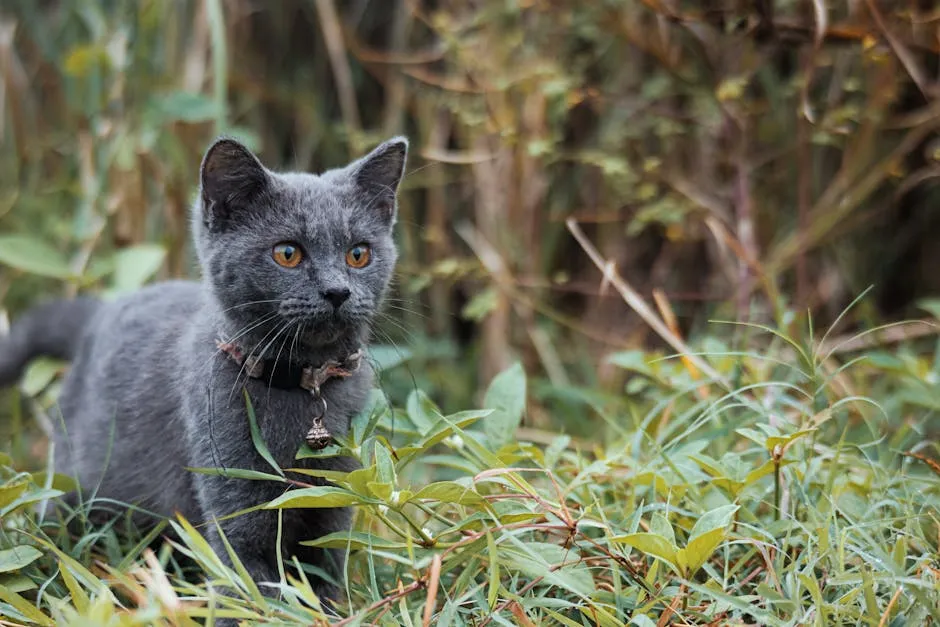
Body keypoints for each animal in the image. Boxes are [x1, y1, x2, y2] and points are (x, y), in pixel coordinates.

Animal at [0, 135, 408, 612]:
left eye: (358, 254)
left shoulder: (336, 497)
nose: (337, 291)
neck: (303, 388)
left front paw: (327, 612)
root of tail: (100, 312)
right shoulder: (234, 496)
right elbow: (247, 584)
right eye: (287, 253)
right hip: (75, 487)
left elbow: (323, 573)